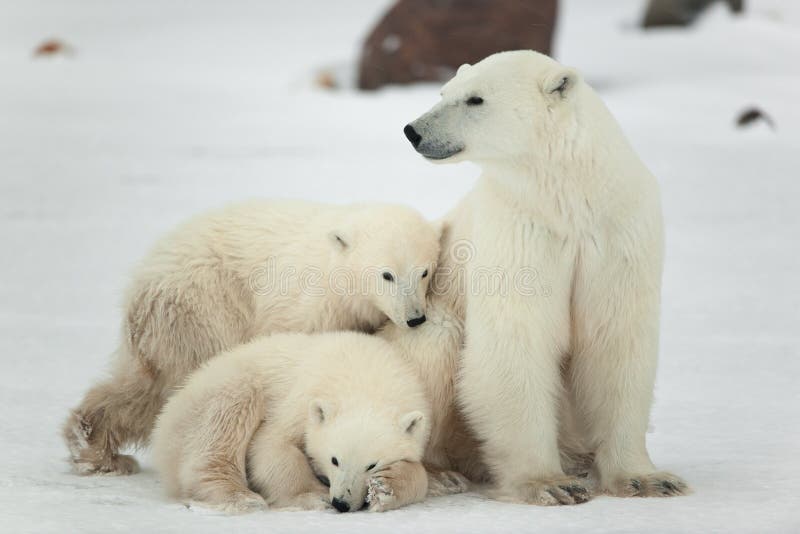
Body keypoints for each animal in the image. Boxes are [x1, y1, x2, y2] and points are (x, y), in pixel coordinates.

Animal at [63, 199, 441, 476]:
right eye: (387, 274)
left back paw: (94, 445)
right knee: (171, 382)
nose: (415, 317)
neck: (334, 274)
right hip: (202, 307)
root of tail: (140, 283)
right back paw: (97, 448)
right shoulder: (301, 306)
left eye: (424, 271)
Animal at [151, 331, 431, 513]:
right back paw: (241, 496)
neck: (366, 376)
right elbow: (272, 445)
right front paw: (315, 496)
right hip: (215, 395)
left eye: (371, 465)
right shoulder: (301, 398)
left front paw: (386, 488)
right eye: (334, 460)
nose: (341, 503)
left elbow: (420, 472)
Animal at [403, 50, 690, 504]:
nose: (413, 130)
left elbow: (615, 339)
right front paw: (549, 484)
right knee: (436, 345)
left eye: (475, 99)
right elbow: (519, 336)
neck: (568, 196)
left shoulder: (617, 231)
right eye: (444, 92)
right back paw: (438, 474)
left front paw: (647, 479)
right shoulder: (520, 228)